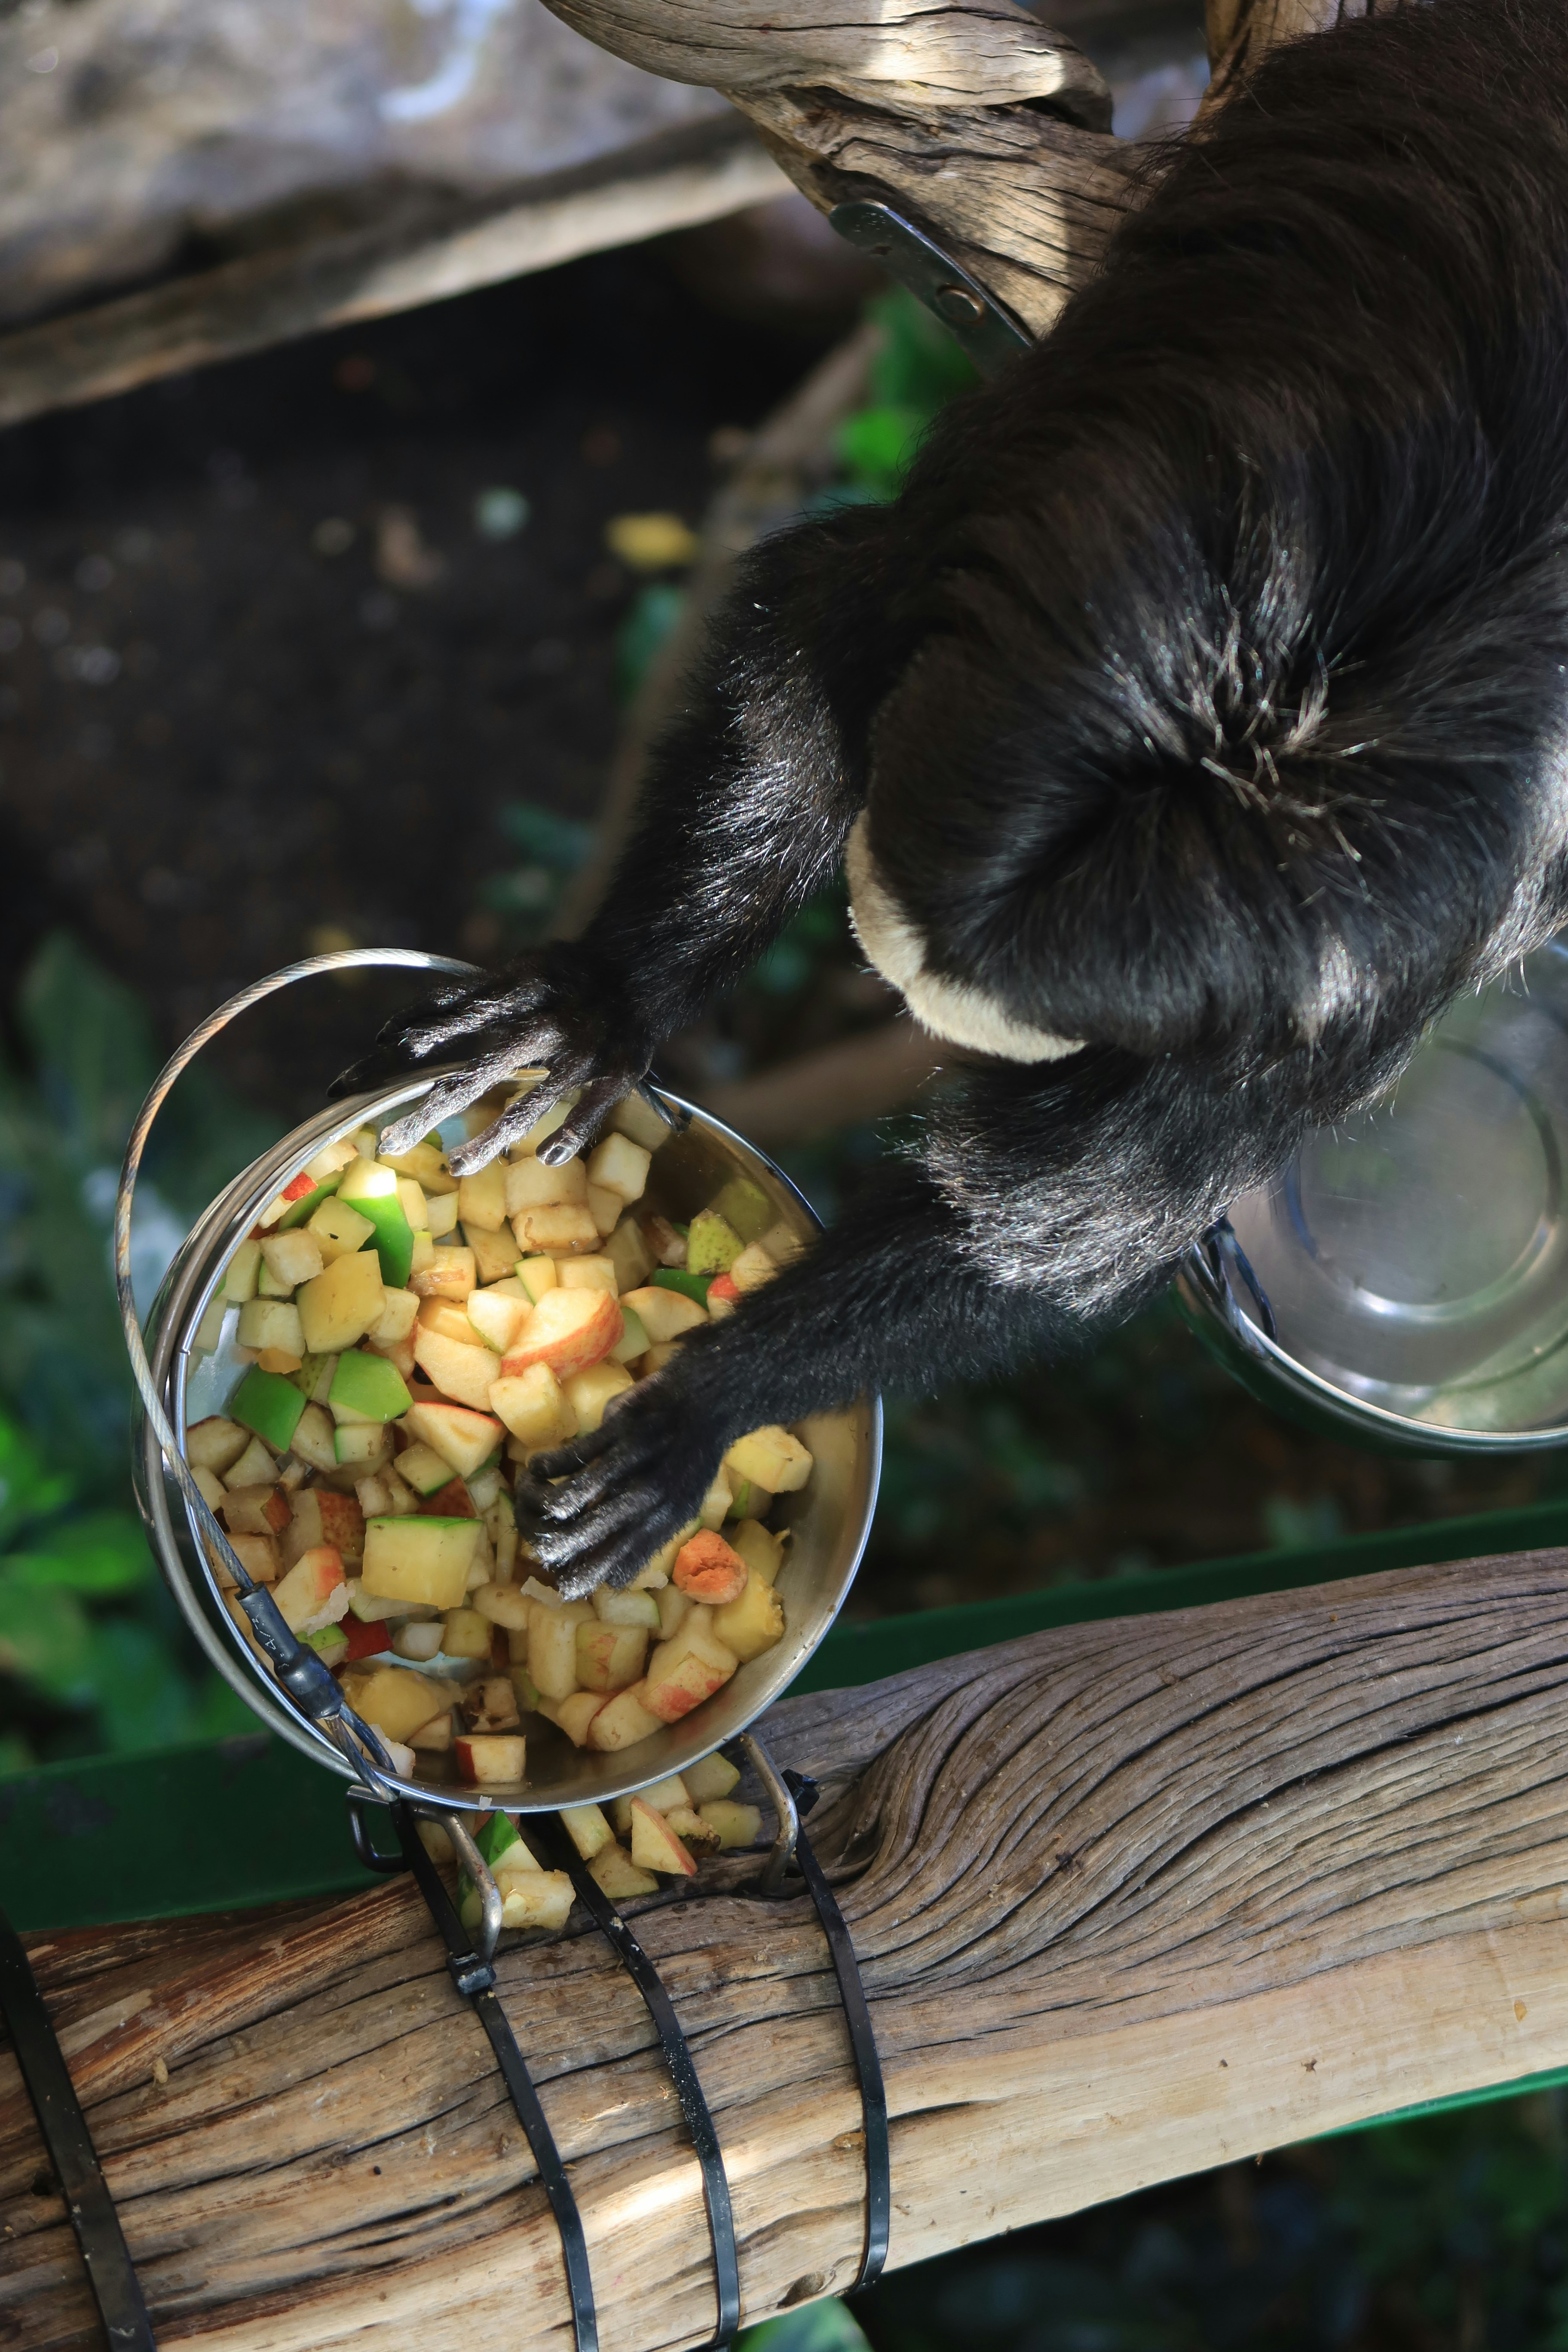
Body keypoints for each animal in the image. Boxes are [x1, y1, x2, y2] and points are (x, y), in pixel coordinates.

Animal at [335, 0, 1568, 1595]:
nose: (898, 989)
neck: (1282, 695)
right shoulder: (1052, 526)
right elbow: (811, 646)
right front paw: (602, 1004)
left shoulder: (1376, 946)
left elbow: (1077, 1205)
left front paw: (708, 1404)